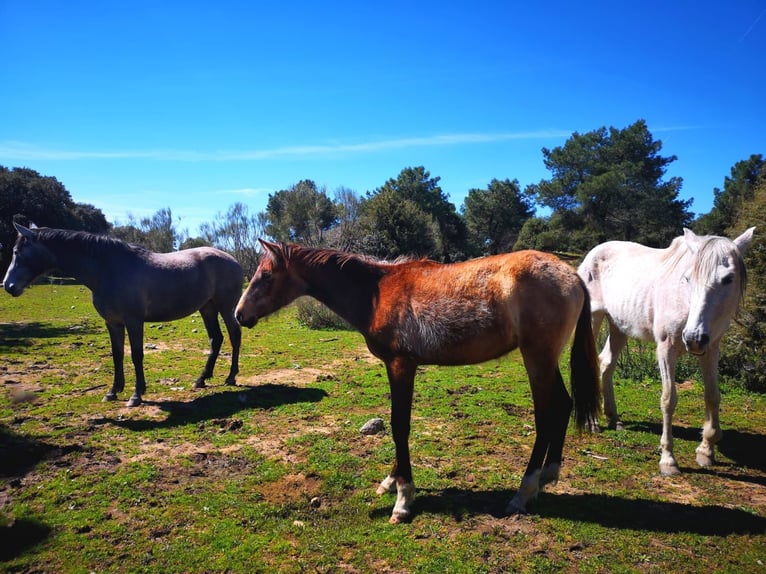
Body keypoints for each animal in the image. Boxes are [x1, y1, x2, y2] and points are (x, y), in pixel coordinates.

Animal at [3, 222, 244, 407]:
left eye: (17, 253)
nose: (8, 286)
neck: (108, 269)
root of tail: (232, 259)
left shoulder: (134, 321)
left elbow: (136, 355)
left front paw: (136, 395)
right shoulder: (113, 322)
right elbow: (117, 354)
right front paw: (113, 391)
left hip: (225, 307)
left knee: (234, 335)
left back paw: (231, 377)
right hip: (207, 308)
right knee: (216, 339)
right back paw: (201, 379)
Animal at [235, 240, 601, 523]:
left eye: (266, 275)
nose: (240, 315)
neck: (375, 292)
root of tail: (572, 274)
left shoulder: (401, 366)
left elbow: (400, 425)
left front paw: (402, 499)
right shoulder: (397, 367)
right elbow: (398, 424)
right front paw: (389, 482)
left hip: (536, 358)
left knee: (546, 415)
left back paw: (523, 493)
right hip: (545, 359)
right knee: (563, 404)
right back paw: (548, 476)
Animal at [577, 227, 755, 476]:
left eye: (728, 279)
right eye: (688, 278)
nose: (693, 338)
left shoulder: (711, 349)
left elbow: (712, 396)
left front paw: (706, 450)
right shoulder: (665, 349)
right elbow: (669, 399)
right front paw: (668, 459)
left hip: (618, 326)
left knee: (606, 364)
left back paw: (613, 418)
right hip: (593, 319)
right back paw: (591, 423)